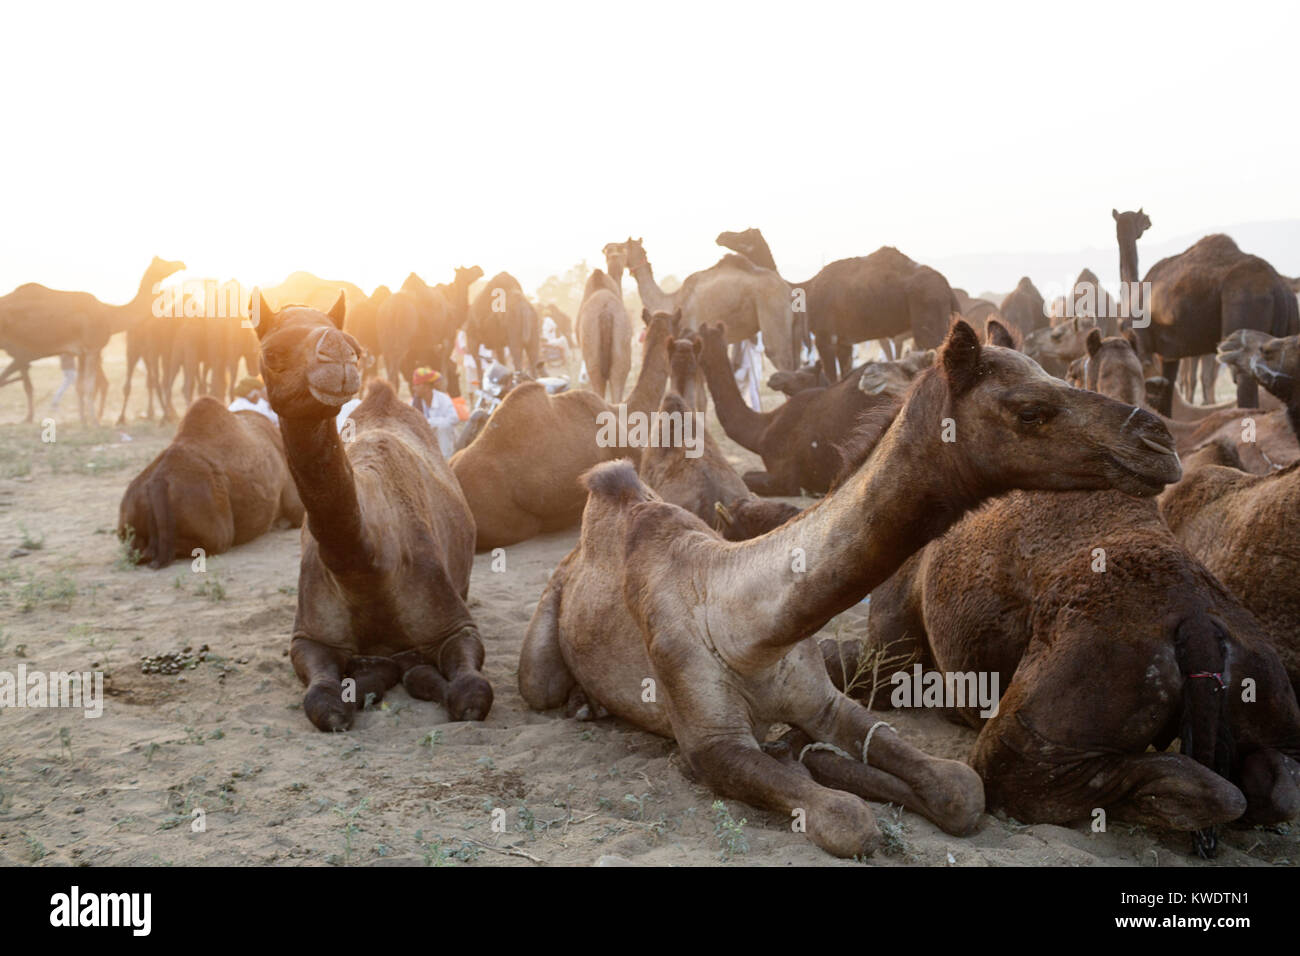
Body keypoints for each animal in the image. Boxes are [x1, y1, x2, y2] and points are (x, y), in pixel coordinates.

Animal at [0, 257, 185, 424]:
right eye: (164, 263)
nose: (181, 263)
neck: (111, 315)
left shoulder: (81, 352)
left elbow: (80, 387)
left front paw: (83, 421)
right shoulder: (92, 348)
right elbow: (89, 386)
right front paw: (95, 422)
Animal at [252, 291, 491, 731]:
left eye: (357, 347)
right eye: (272, 352)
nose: (338, 350)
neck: (369, 567)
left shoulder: (458, 625)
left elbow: (471, 693)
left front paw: (413, 669)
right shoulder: (309, 638)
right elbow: (324, 702)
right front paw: (375, 672)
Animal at [608, 237, 798, 373]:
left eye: (622, 246)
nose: (608, 248)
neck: (672, 300)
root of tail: (787, 289)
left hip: (772, 311)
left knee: (780, 358)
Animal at [716, 227, 957, 379]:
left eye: (745, 233)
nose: (721, 235)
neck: (806, 289)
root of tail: (946, 287)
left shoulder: (825, 337)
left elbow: (832, 378)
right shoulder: (844, 342)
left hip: (928, 324)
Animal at [846, 488, 1300, 853]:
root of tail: (1197, 622)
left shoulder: (889, 653)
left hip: (1053, 710)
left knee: (1017, 776)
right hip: (1265, 687)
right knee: (1276, 784)